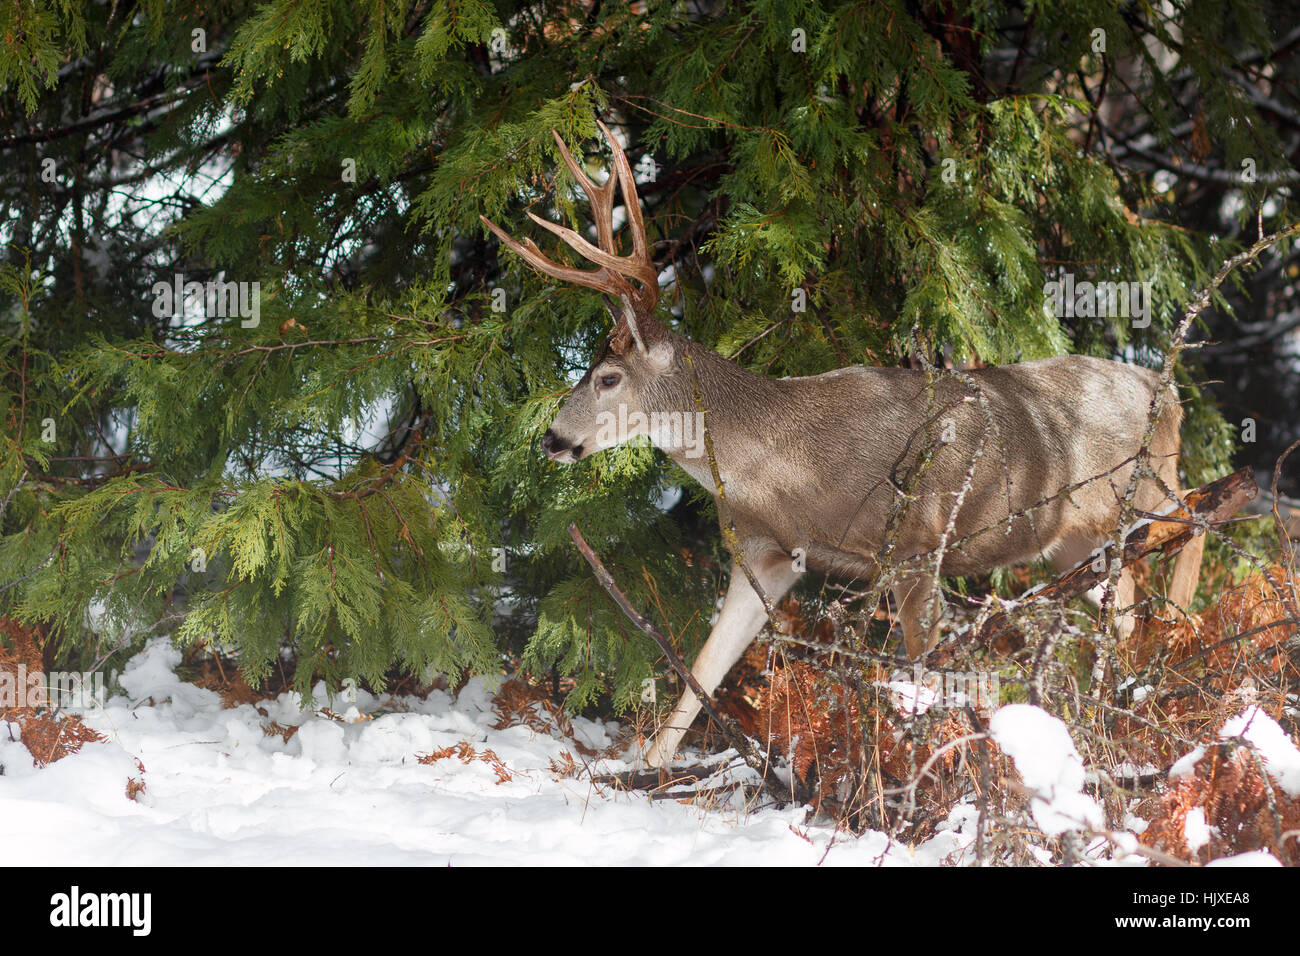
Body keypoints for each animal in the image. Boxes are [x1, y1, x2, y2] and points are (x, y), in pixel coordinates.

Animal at [481, 122, 1205, 769]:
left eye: (607, 376)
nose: (551, 438)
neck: (779, 461)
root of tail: (1164, 389)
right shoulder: (768, 553)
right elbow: (704, 665)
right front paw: (648, 768)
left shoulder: (916, 540)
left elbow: (923, 667)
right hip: (1075, 539)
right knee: (1125, 604)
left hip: (1143, 486)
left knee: (1199, 517)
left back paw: (1179, 635)